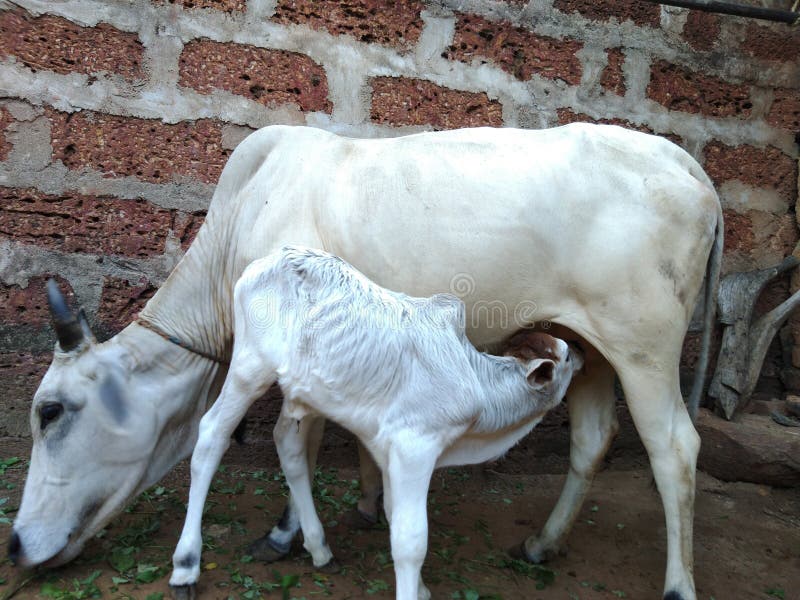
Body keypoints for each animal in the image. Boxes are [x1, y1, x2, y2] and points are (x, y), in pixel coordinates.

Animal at [168, 246, 583, 600]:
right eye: (564, 357)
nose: (580, 349)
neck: (476, 382)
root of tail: (268, 260)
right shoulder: (415, 450)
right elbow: (410, 541)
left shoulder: (390, 454)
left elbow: (393, 515)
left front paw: (421, 589)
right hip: (248, 370)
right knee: (210, 436)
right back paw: (186, 566)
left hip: (302, 394)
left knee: (287, 443)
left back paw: (319, 548)